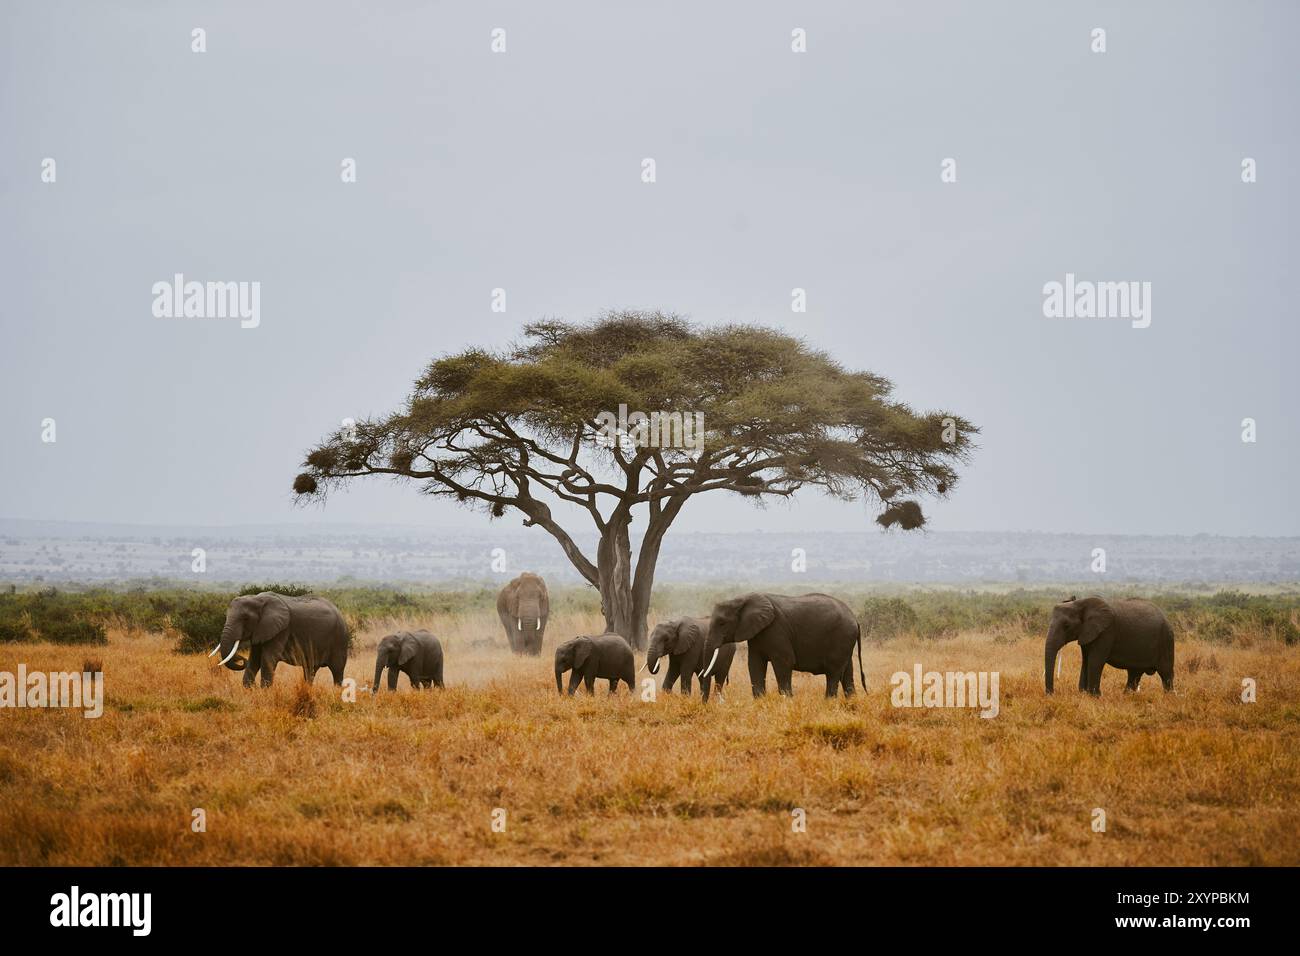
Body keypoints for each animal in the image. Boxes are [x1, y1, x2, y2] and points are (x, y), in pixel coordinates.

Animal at [211, 592, 349, 687]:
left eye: (245, 618)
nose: (240, 659)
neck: (257, 599)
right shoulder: (261, 630)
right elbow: (254, 659)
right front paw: (250, 690)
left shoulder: (281, 630)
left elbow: (267, 659)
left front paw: (264, 692)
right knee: (310, 670)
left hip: (339, 639)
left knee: (337, 671)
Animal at [701, 592, 863, 698]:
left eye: (722, 623)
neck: (742, 599)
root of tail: (855, 619)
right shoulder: (756, 634)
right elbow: (754, 664)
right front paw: (761, 701)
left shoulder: (776, 629)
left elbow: (784, 661)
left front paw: (787, 700)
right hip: (845, 641)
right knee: (847, 672)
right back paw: (851, 701)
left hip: (842, 637)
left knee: (833, 672)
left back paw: (829, 701)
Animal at [1044, 596, 1174, 696]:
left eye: (1066, 626)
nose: (1052, 694)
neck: (1082, 603)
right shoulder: (1087, 633)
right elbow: (1086, 661)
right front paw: (1083, 694)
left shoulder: (1106, 632)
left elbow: (1095, 661)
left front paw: (1094, 696)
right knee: (1134, 673)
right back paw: (1127, 696)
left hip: (1166, 640)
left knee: (1166, 672)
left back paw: (1169, 697)